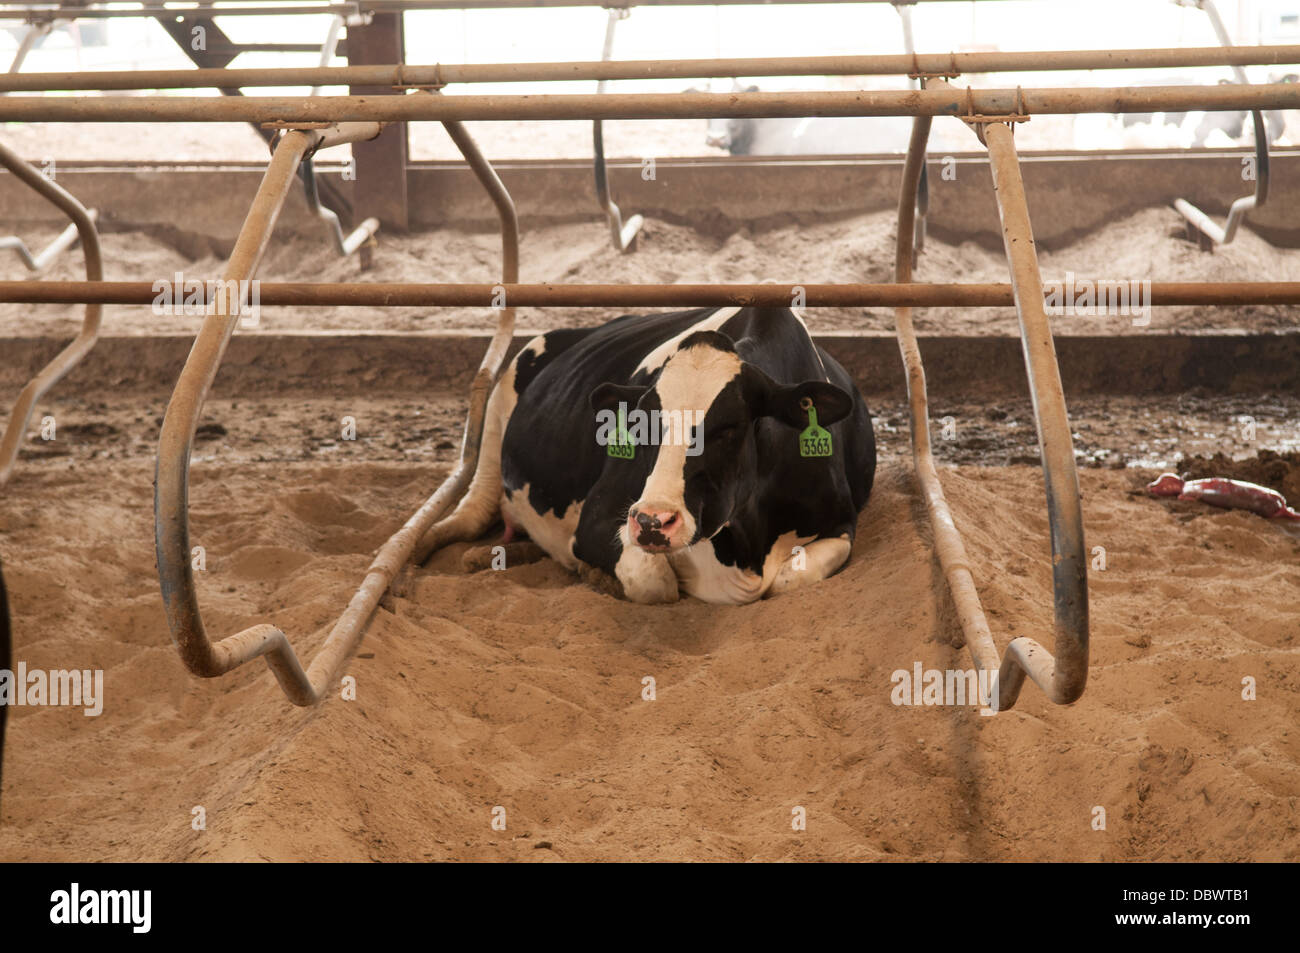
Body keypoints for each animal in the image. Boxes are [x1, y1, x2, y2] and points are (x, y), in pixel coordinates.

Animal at [417, 307, 876, 605]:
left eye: (729, 427)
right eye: (640, 423)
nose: (654, 521)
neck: (746, 549)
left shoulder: (841, 524)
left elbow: (788, 581)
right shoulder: (598, 519)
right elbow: (656, 582)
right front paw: (596, 575)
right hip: (498, 406)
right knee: (473, 508)